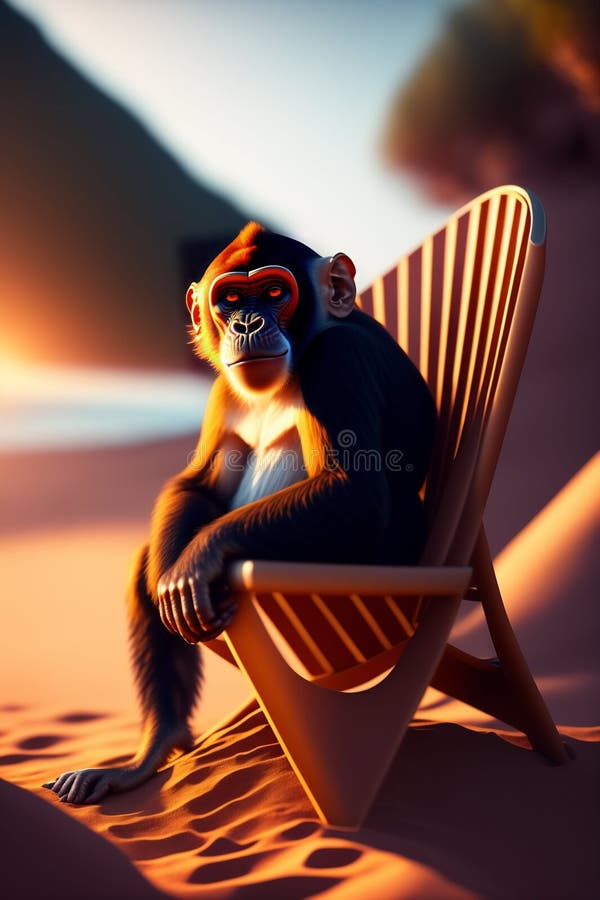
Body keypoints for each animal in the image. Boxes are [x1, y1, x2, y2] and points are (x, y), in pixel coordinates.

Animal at [43, 223, 436, 804]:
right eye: (229, 299)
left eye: (274, 292)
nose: (247, 322)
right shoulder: (221, 391)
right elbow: (198, 484)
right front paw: (169, 569)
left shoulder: (339, 359)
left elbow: (352, 490)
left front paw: (194, 561)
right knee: (149, 558)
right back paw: (152, 750)